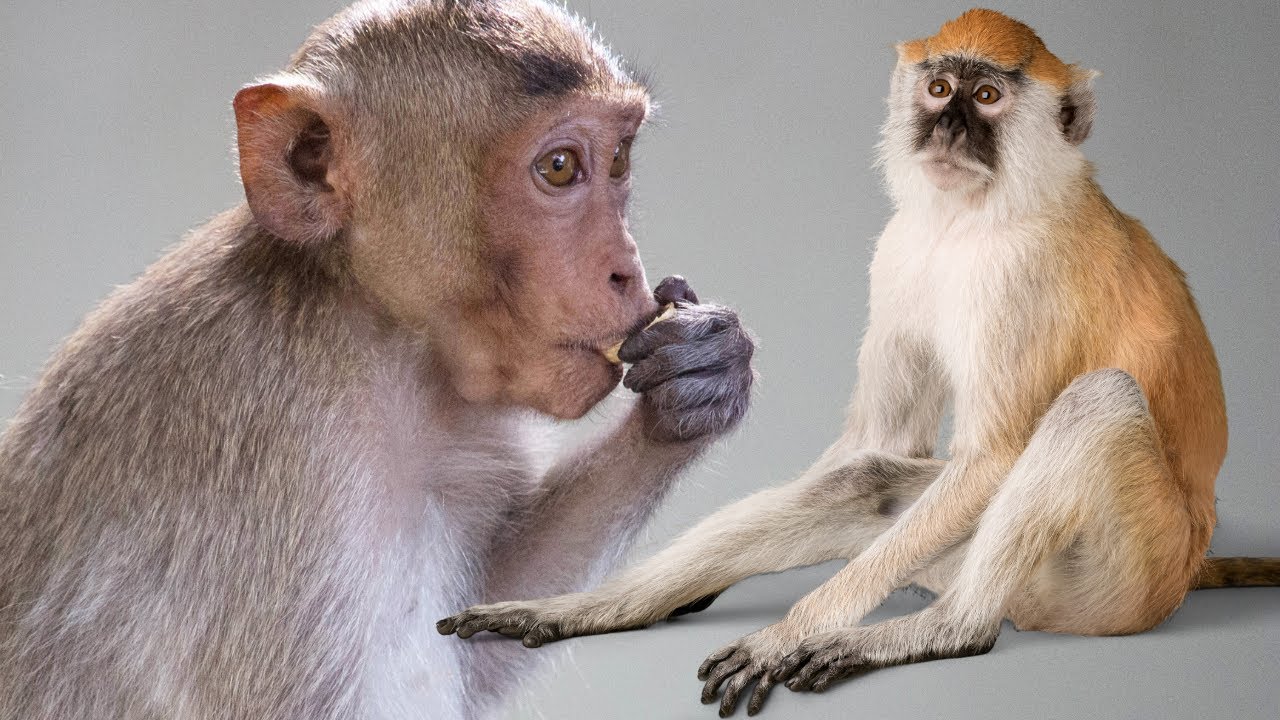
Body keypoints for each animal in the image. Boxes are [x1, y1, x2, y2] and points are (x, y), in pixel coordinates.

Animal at [0, 2, 756, 719]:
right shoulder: (288, 454)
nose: (627, 271)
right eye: (560, 167)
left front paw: (693, 384)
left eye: (619, 160)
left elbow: (480, 628)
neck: (373, 322)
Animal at [439, 8, 1280, 716]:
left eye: (986, 95)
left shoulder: (1022, 274)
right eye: (938, 88)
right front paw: (664, 597)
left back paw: (946, 629)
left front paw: (783, 636)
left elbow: (994, 454)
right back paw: (603, 607)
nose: (947, 127)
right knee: (863, 482)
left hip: (1123, 575)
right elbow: (876, 445)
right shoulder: (904, 249)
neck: (975, 214)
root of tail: (1188, 567)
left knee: (1097, 401)